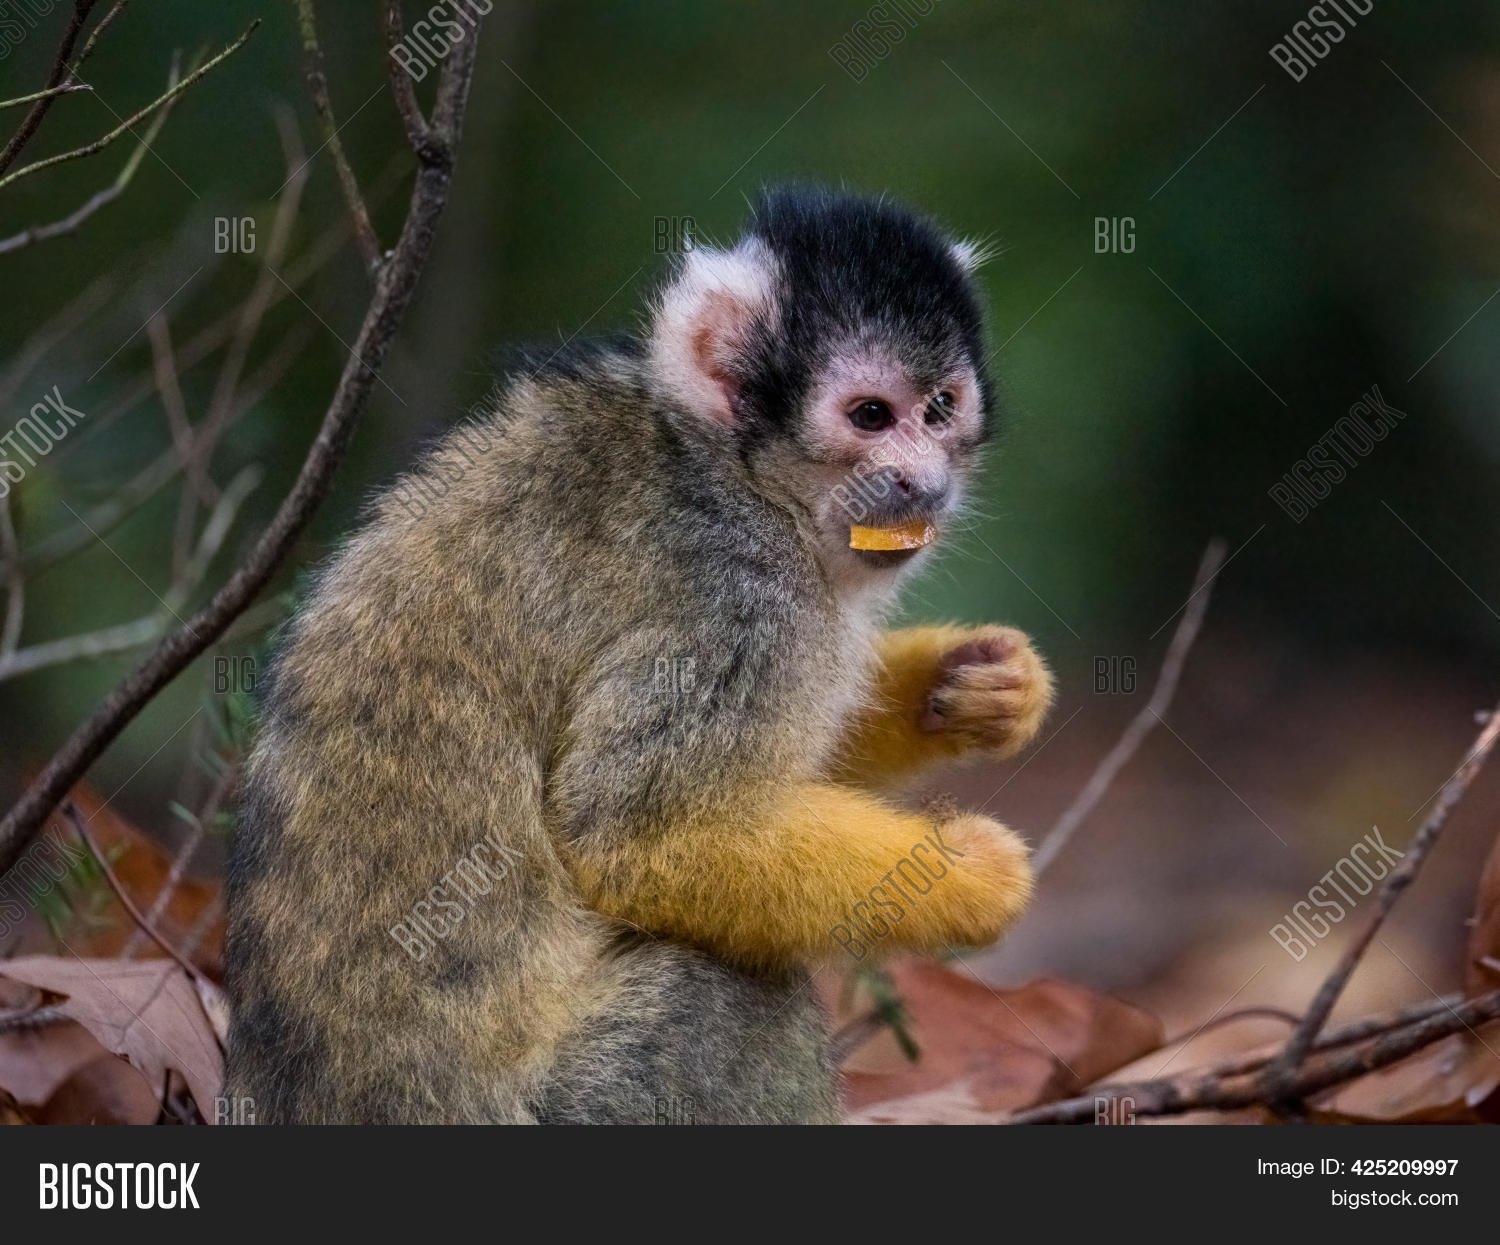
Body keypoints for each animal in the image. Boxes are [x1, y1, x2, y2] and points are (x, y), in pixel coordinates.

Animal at [223, 185, 1053, 1124]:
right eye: (872, 415)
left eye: (939, 409)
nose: (922, 481)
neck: (733, 470)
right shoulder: (730, 596)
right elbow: (639, 830)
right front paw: (967, 874)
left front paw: (975, 685)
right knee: (733, 991)